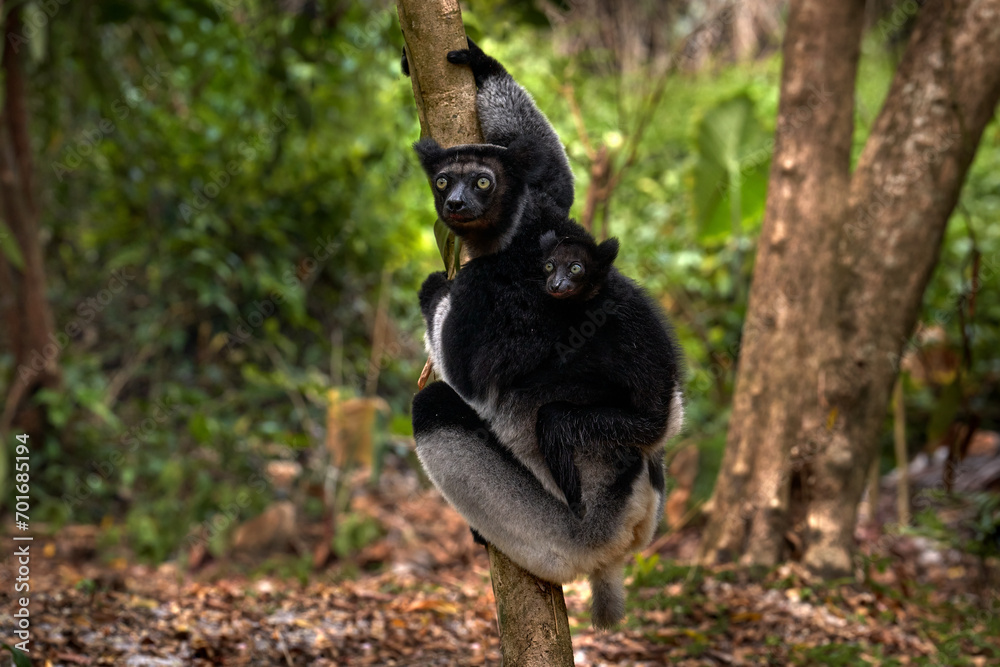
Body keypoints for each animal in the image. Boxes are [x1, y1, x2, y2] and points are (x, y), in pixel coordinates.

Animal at [408, 39, 684, 629]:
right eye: (443, 181)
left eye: (482, 182)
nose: (455, 205)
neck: (511, 238)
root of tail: (626, 524)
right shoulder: (545, 215)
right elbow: (555, 177)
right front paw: (481, 63)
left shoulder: (494, 291)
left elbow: (466, 370)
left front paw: (432, 289)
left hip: (564, 529)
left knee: (435, 408)